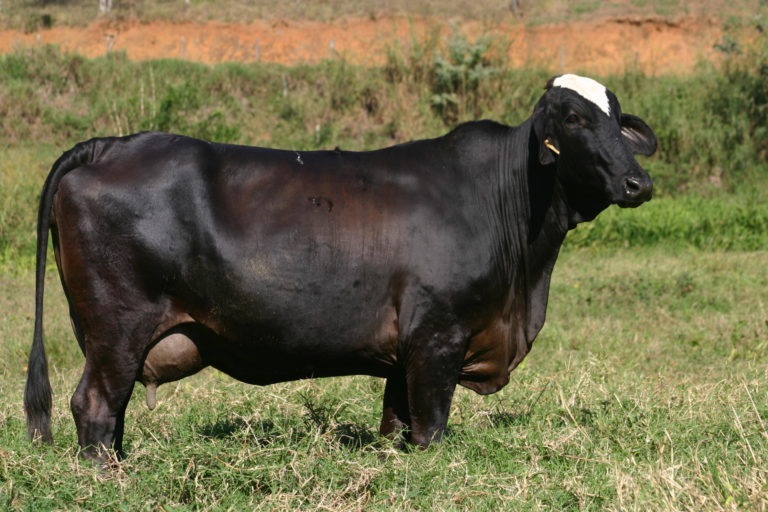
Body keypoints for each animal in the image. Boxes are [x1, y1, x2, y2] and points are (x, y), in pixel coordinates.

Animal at [25, 74, 656, 462]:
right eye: (573, 118)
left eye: (617, 118)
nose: (638, 183)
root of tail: (113, 144)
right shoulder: (438, 338)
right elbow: (431, 429)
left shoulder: (405, 353)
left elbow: (398, 425)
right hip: (117, 327)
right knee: (94, 406)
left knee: (114, 411)